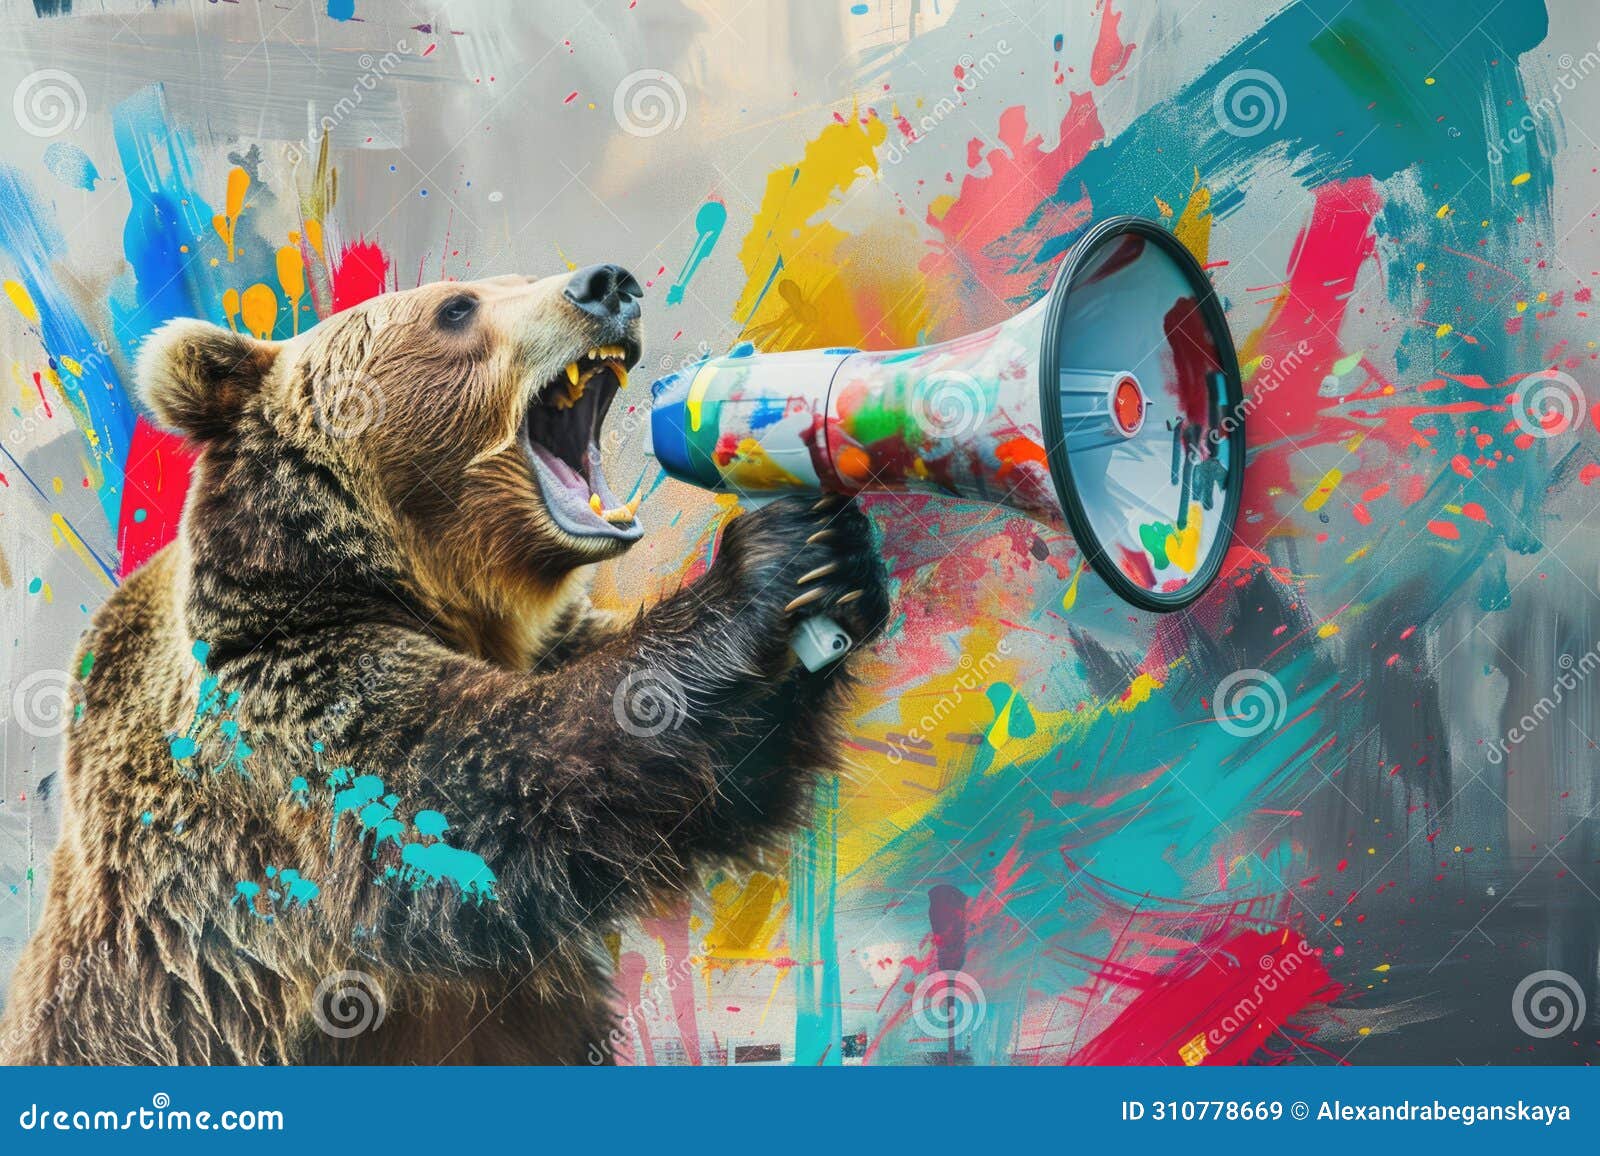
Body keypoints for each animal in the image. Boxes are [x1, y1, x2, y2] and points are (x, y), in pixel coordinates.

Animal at [0, 266, 890, 1064]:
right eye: (457, 307)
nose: (608, 285)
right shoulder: (278, 712)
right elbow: (475, 790)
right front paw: (767, 564)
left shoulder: (543, 642)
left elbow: (715, 776)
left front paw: (842, 562)